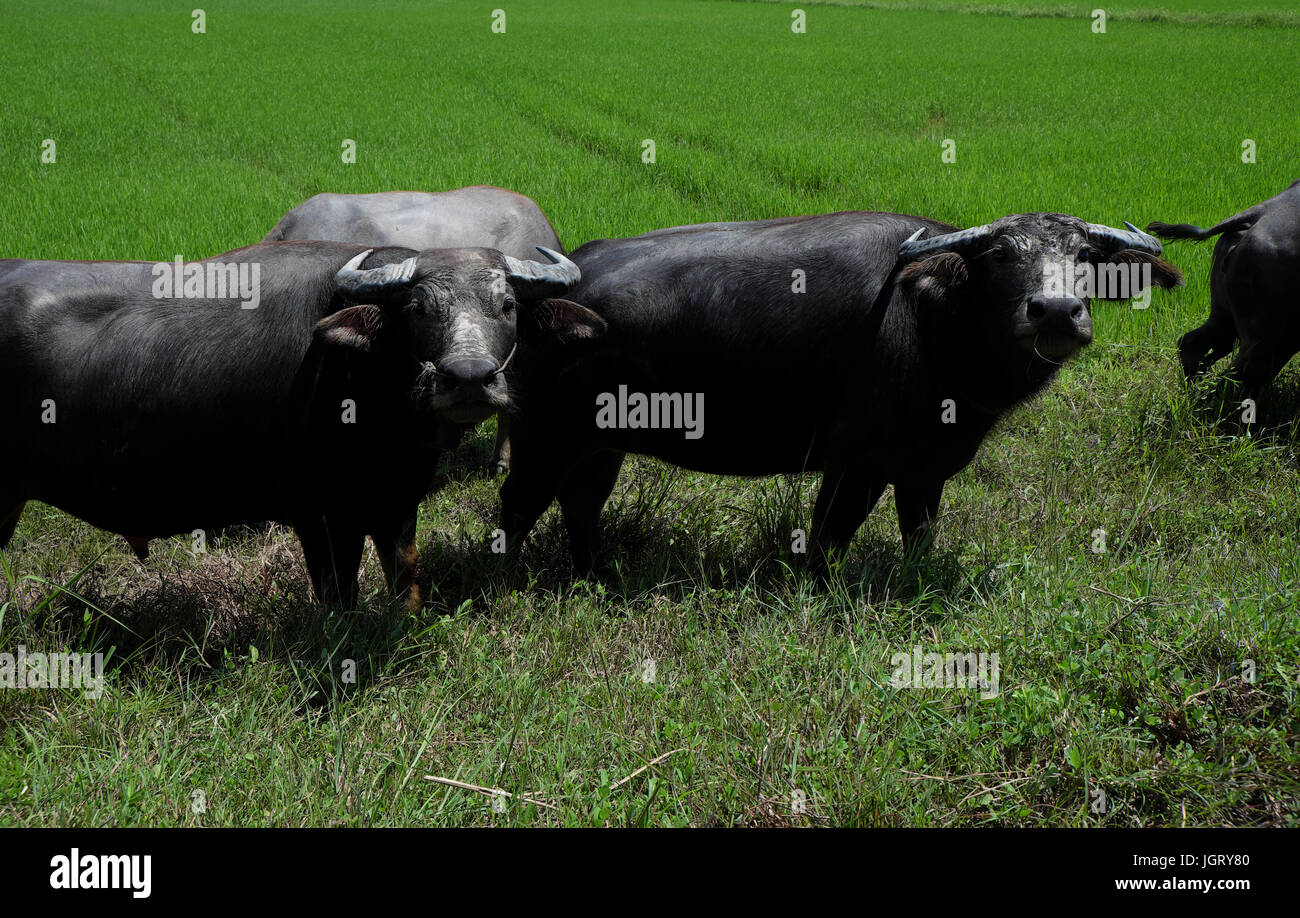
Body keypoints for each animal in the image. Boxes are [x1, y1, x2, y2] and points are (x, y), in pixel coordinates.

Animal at [498, 211, 1181, 575]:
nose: (1057, 311)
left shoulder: (923, 467)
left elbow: (919, 532)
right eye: (998, 257)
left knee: (582, 502)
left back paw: (597, 570)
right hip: (542, 437)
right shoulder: (856, 460)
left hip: (600, 442)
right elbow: (830, 535)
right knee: (519, 504)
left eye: (1087, 255)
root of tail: (539, 297)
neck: (932, 318)